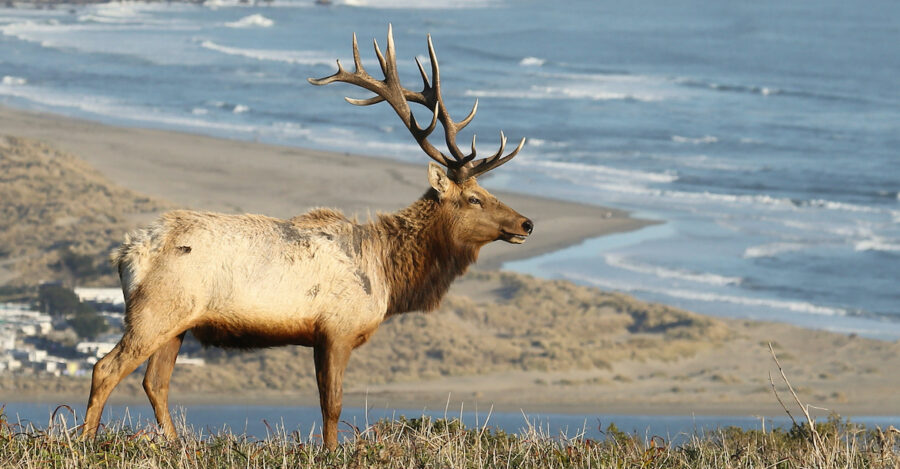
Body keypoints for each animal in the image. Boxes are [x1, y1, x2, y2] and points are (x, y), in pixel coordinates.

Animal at [80, 26, 533, 450]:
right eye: (475, 198)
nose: (527, 223)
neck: (388, 274)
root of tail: (127, 254)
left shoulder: (317, 336)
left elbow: (323, 401)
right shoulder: (337, 329)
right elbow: (332, 404)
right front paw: (332, 452)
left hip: (178, 323)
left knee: (154, 382)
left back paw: (177, 445)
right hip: (155, 311)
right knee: (105, 368)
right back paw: (84, 440)